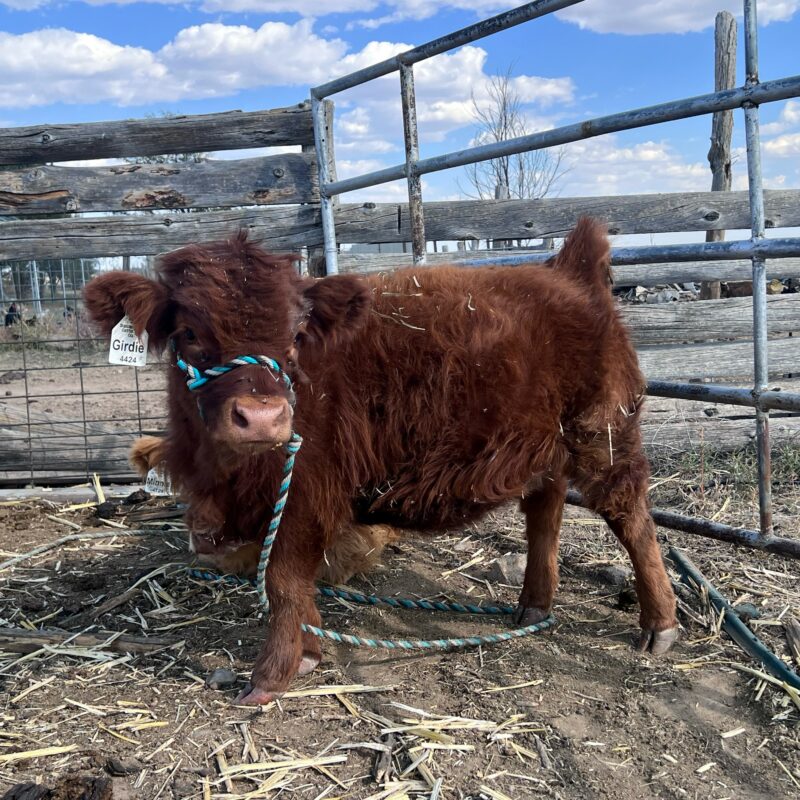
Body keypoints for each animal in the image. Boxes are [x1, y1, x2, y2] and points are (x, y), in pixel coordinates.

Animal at [85, 218, 678, 705]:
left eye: (294, 334)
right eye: (188, 332)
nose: (263, 416)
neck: (227, 475)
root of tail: (565, 270)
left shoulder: (307, 494)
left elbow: (283, 579)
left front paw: (272, 675)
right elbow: (290, 580)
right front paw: (309, 649)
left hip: (603, 434)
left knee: (631, 516)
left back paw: (660, 623)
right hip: (544, 445)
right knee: (544, 513)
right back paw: (533, 604)